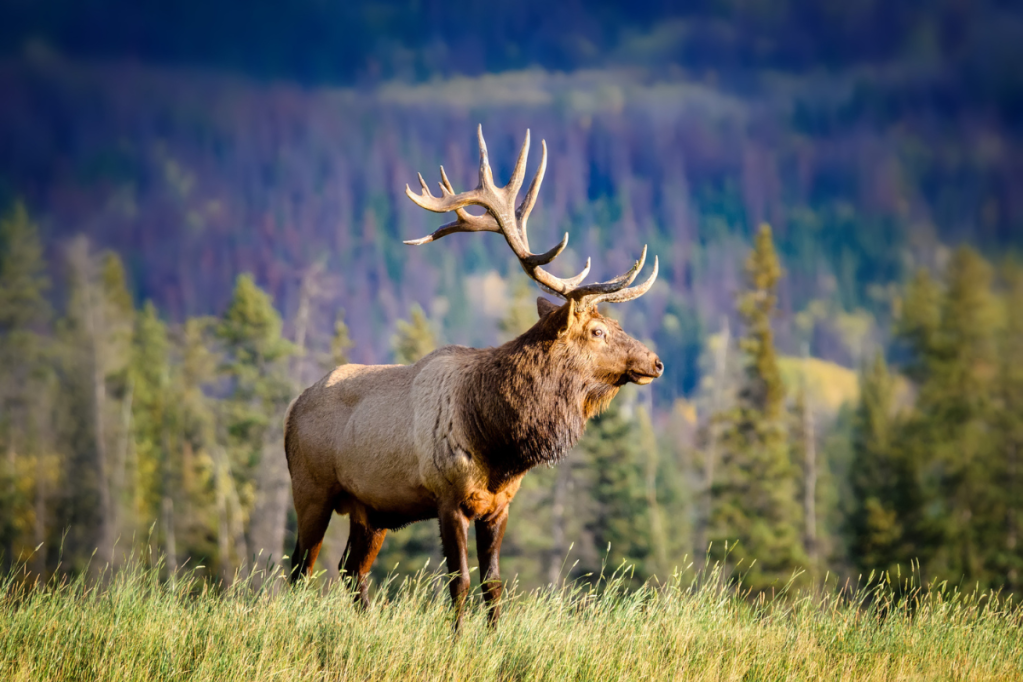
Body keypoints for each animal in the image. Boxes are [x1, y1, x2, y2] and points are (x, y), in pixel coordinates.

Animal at [285, 125, 663, 628]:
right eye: (598, 330)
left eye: (617, 324)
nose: (655, 362)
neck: (496, 440)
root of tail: (291, 410)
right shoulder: (447, 496)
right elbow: (459, 581)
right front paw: (458, 637)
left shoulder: (498, 505)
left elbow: (494, 583)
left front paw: (495, 634)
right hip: (310, 489)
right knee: (298, 569)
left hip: (371, 510)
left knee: (351, 569)